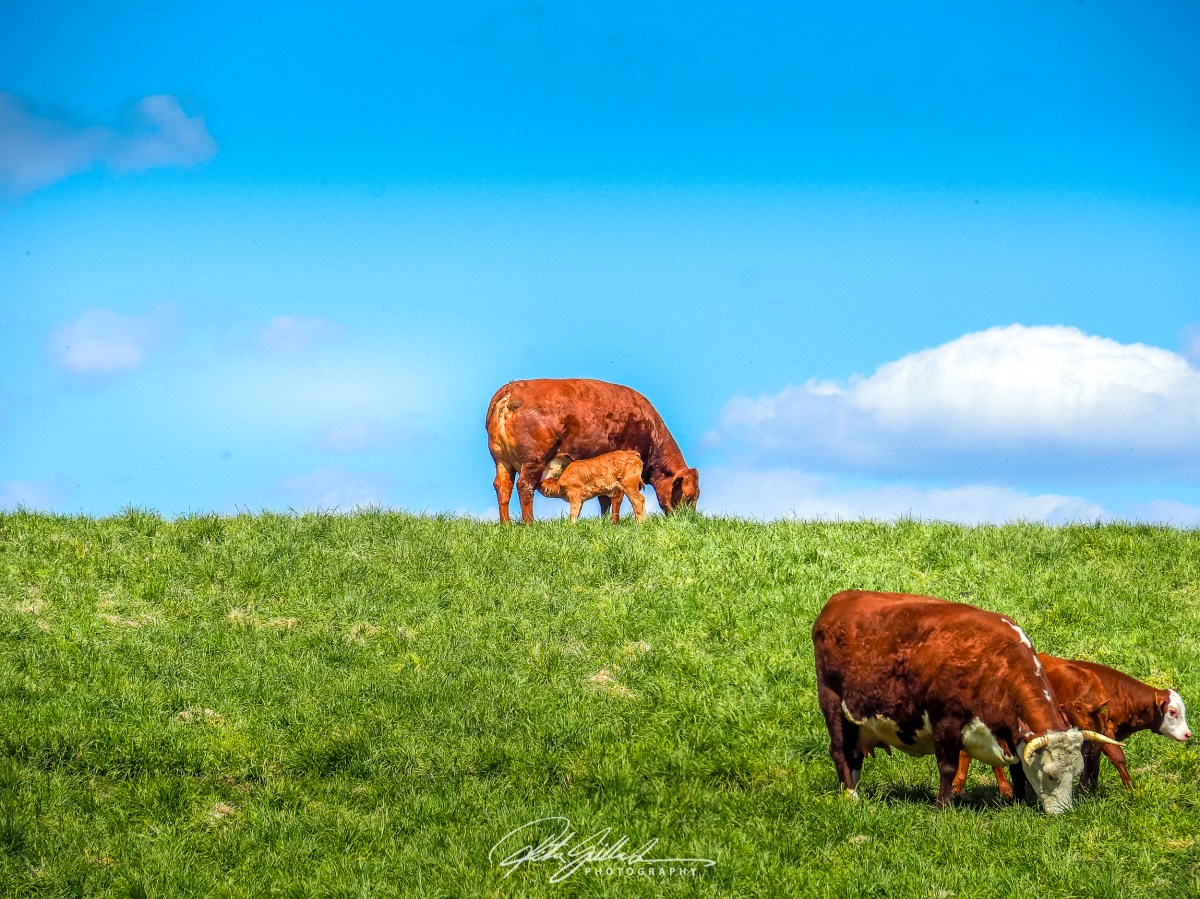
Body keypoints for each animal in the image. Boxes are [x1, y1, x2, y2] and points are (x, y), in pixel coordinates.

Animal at [486, 378, 699, 523]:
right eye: (687, 495)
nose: (688, 520)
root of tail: (510, 390)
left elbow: (604, 497)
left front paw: (605, 522)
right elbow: (616, 496)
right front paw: (615, 523)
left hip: (502, 461)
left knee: (503, 487)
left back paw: (506, 524)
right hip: (533, 460)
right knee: (525, 486)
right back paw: (530, 524)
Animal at [811, 590, 1121, 814]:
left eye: (1077, 771)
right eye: (1050, 773)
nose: (1063, 813)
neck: (996, 663)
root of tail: (837, 601)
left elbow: (1019, 769)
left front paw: (1020, 801)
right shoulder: (946, 722)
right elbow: (947, 768)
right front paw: (943, 807)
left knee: (853, 755)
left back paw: (852, 788)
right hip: (831, 701)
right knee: (838, 750)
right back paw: (851, 796)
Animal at [953, 654, 1191, 796]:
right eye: (1172, 712)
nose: (1188, 734)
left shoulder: (1099, 737)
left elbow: (1094, 764)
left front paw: (1090, 792)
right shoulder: (1107, 735)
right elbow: (1117, 757)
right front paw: (1131, 789)